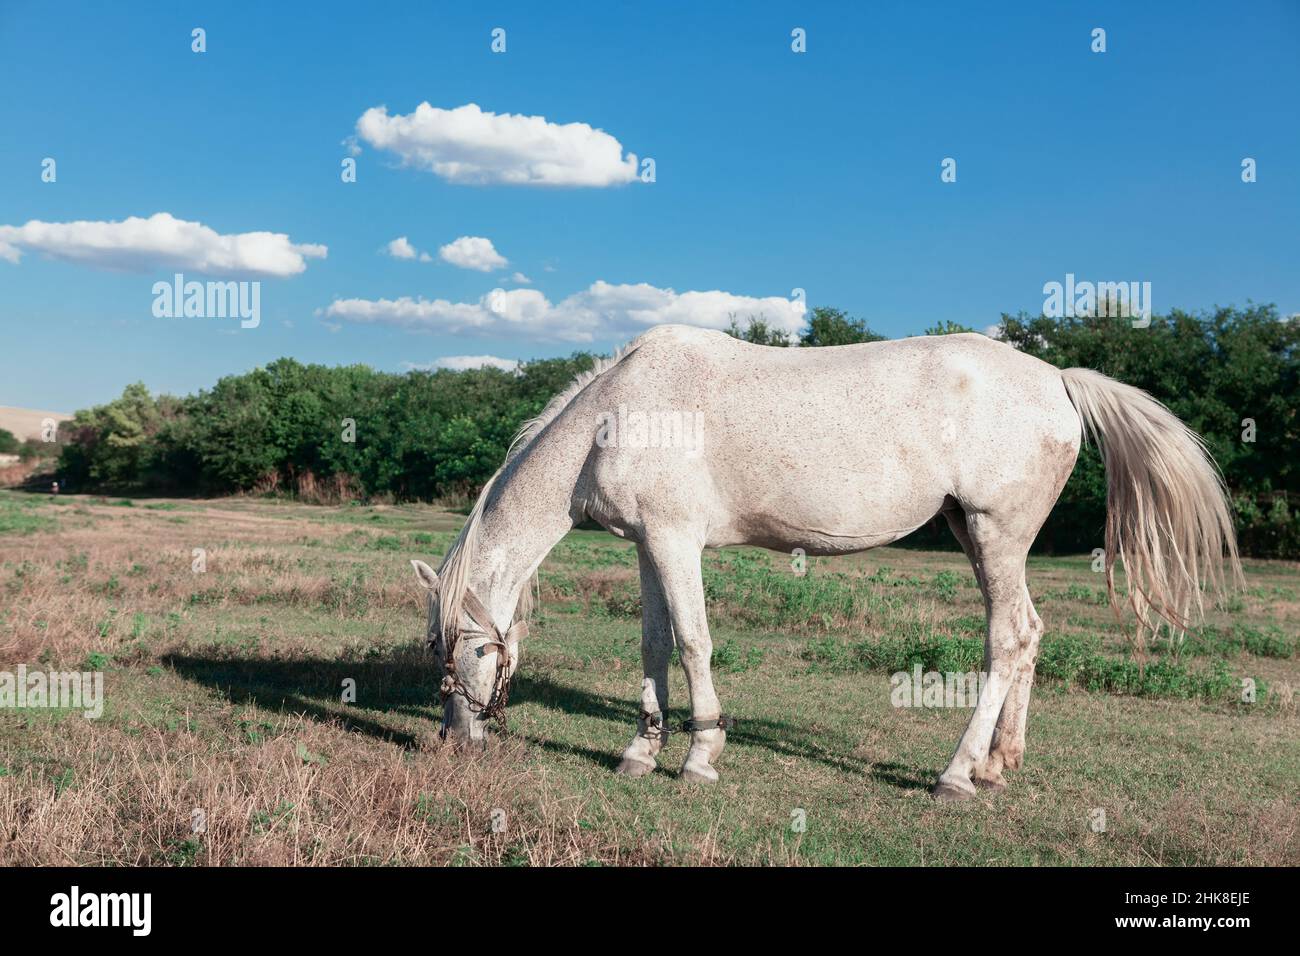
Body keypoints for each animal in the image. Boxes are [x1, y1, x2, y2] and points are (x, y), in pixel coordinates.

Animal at [410, 324, 1240, 800]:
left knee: (1007, 640)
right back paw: (999, 764)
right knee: (1029, 634)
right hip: (978, 535)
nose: (455, 740)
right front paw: (641, 751)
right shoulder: (650, 545)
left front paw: (700, 755)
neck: (617, 415)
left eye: (469, 649)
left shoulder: (678, 542)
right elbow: (652, 645)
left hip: (997, 532)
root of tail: (1059, 381)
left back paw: (956, 775)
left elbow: (694, 644)